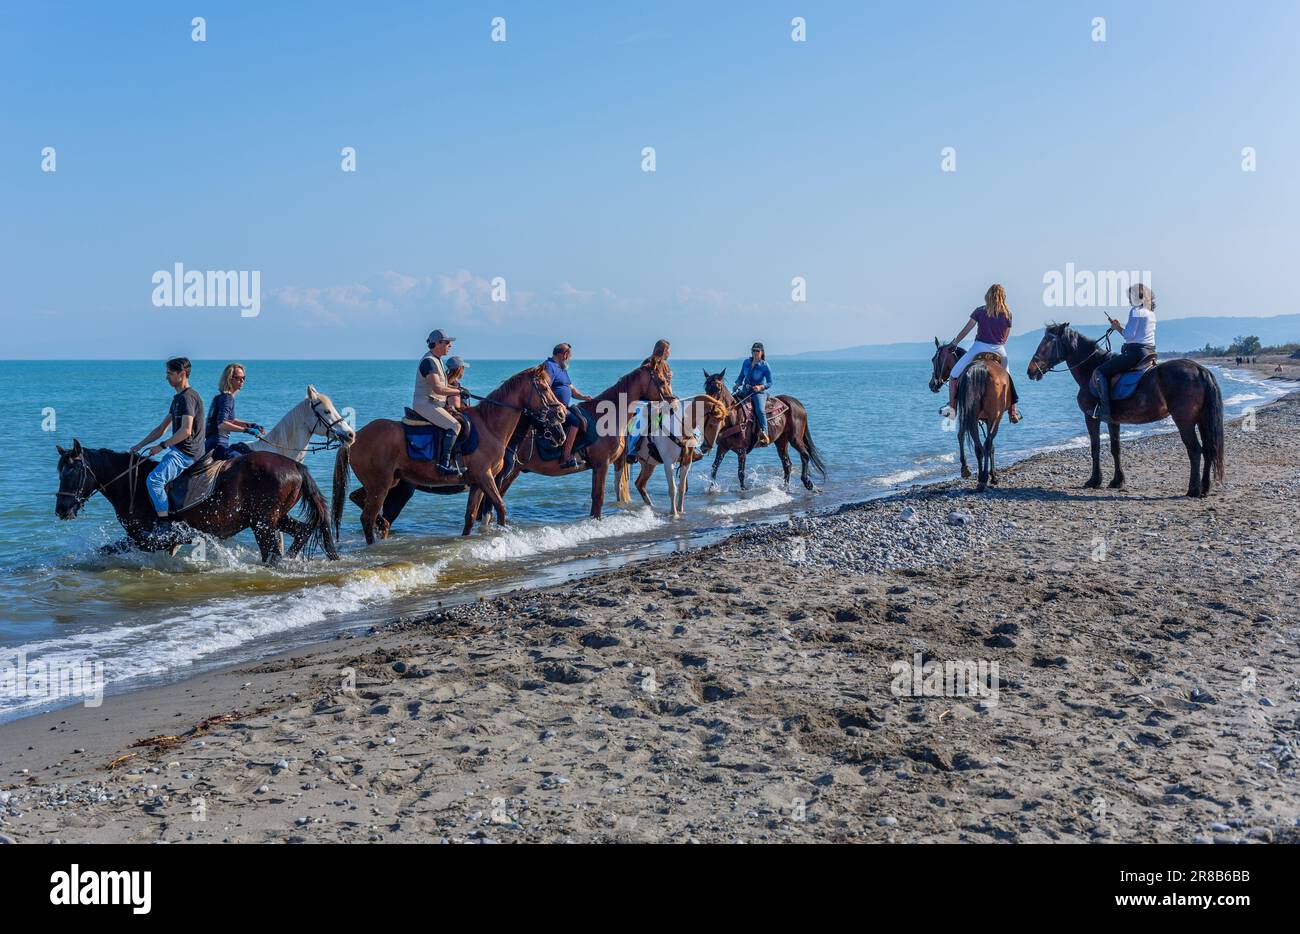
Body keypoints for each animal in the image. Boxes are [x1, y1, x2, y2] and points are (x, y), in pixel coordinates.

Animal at [54, 440, 338, 563]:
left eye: (71, 471)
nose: (61, 509)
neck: (131, 485)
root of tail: (295, 466)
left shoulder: (145, 536)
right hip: (272, 518)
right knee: (301, 531)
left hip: (263, 523)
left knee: (273, 552)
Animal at [331, 365, 566, 543]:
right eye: (544, 388)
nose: (562, 415)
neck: (489, 426)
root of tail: (355, 437)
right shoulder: (487, 477)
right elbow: (500, 508)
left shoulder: (477, 483)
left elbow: (471, 517)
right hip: (381, 485)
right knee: (367, 518)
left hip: (388, 482)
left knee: (362, 502)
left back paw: (384, 526)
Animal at [490, 364, 674, 519]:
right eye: (662, 381)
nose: (673, 402)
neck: (607, 417)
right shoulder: (602, 463)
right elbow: (599, 497)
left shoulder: (597, 466)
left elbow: (595, 497)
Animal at [929, 339, 1013, 491]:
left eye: (934, 359)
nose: (932, 384)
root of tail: (982, 368)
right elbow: (988, 445)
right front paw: (991, 475)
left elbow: (961, 435)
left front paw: (967, 468)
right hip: (991, 417)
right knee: (985, 444)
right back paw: (983, 478)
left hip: (980, 416)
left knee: (981, 445)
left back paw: (982, 478)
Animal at [1027, 323, 1225, 496]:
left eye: (1048, 341)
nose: (1030, 371)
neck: (1090, 369)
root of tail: (1200, 370)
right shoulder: (1113, 420)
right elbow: (1116, 448)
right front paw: (1117, 481)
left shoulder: (1091, 417)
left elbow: (1095, 448)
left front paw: (1094, 480)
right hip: (1202, 420)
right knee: (1209, 449)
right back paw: (1205, 488)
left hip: (1184, 421)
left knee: (1195, 450)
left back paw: (1193, 489)